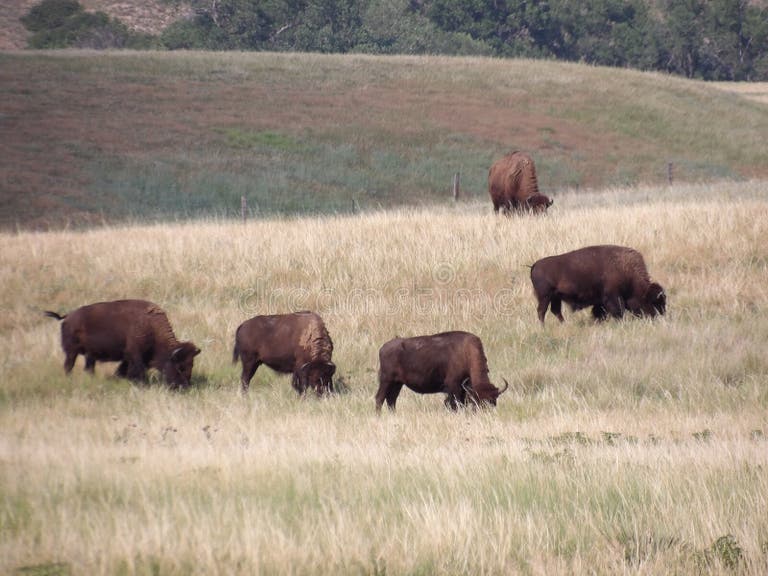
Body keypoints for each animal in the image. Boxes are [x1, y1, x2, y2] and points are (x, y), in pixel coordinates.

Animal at [44, 299, 200, 388]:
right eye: (180, 367)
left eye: (191, 365)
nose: (184, 387)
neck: (151, 326)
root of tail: (67, 317)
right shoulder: (135, 355)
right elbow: (136, 371)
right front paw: (141, 385)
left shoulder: (130, 357)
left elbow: (123, 370)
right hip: (71, 352)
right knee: (69, 366)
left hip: (90, 355)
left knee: (88, 368)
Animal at [375, 331, 508, 412]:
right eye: (478, 402)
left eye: (493, 401)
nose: (485, 413)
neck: (466, 353)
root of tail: (382, 348)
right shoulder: (453, 386)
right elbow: (454, 404)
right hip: (386, 380)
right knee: (380, 398)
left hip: (397, 383)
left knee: (391, 399)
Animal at [529, 245, 666, 324]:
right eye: (652, 302)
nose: (657, 317)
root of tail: (535, 265)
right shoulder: (612, 297)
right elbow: (617, 311)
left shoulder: (601, 301)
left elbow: (599, 312)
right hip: (545, 297)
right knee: (541, 311)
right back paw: (543, 328)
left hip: (555, 297)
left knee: (555, 311)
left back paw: (564, 324)